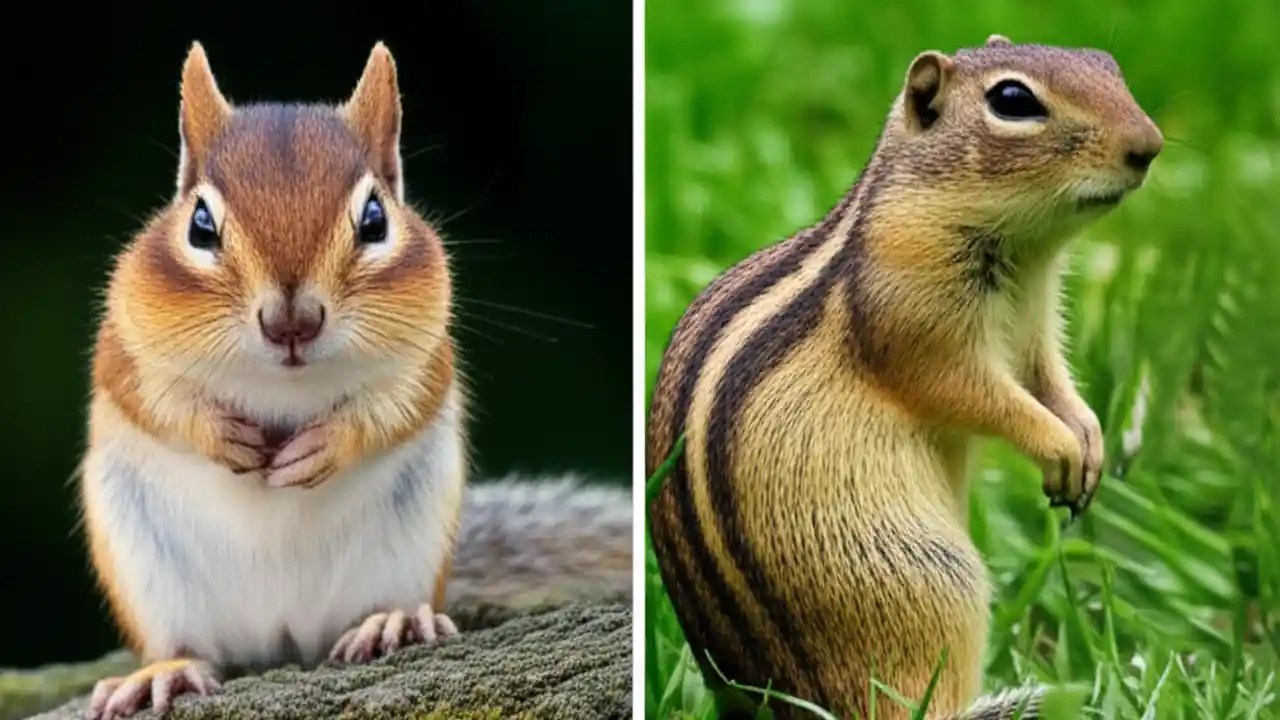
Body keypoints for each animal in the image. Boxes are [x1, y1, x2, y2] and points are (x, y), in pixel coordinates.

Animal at [77, 41, 631, 720]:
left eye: (375, 219)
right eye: (199, 226)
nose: (291, 323)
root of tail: (285, 634)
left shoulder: (426, 354)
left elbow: (394, 407)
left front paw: (323, 445)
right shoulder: (125, 345)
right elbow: (155, 401)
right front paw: (224, 436)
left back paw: (391, 622)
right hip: (149, 571)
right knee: (187, 643)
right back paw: (166, 671)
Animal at [646, 34, 1162, 720]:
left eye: (1108, 63)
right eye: (1013, 100)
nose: (1149, 146)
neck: (1022, 251)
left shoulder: (1035, 326)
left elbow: (1049, 380)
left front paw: (1088, 437)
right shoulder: (915, 322)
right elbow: (980, 395)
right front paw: (1057, 445)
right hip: (935, 579)